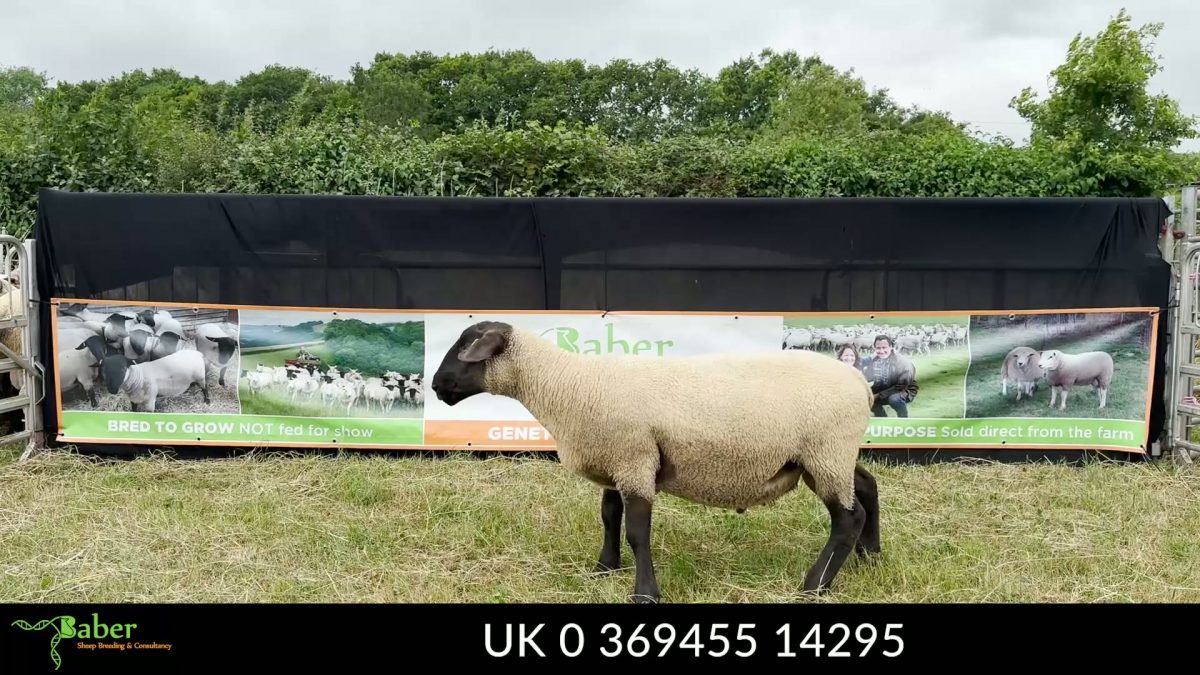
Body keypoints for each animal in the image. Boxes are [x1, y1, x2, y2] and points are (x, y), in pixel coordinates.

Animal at [431, 320, 879, 603]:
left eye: (466, 346)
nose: (436, 386)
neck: (566, 383)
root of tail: (861, 383)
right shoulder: (616, 459)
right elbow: (609, 516)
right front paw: (604, 569)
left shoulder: (635, 461)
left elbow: (637, 533)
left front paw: (644, 592)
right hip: (829, 456)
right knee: (867, 485)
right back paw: (870, 555)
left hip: (826, 452)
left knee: (847, 518)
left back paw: (815, 585)